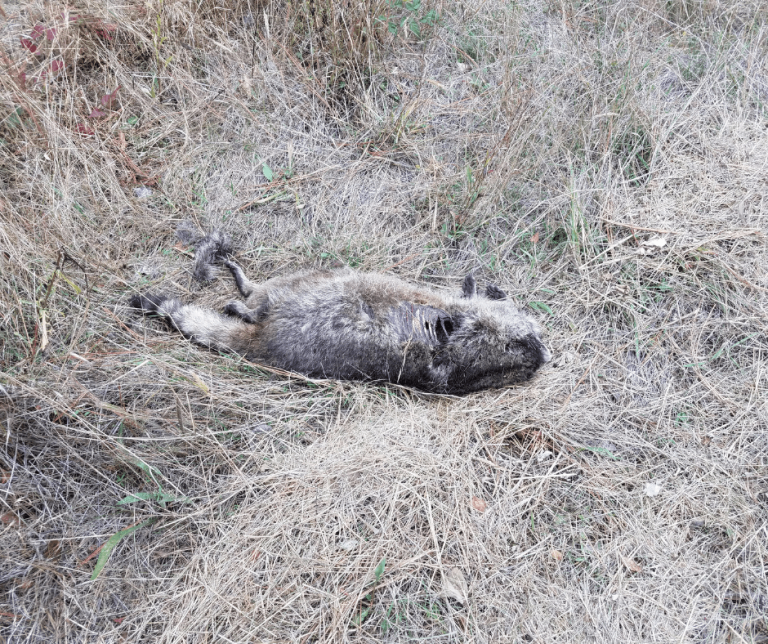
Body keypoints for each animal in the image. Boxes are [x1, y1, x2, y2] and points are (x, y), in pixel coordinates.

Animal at [130, 234, 550, 394]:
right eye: (526, 339)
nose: (542, 353)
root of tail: (267, 338)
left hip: (312, 289)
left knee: (267, 294)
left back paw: (246, 295)